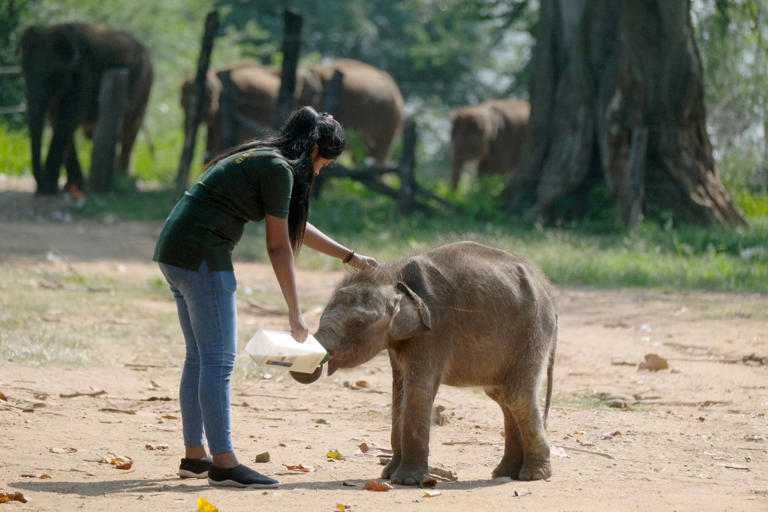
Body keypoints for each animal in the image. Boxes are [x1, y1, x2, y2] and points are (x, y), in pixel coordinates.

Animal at [19, 22, 153, 195]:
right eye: (24, 70)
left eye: (53, 76)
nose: (39, 187)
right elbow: (57, 120)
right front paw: (68, 187)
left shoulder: (84, 73)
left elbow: (68, 119)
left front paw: (50, 188)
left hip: (143, 84)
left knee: (129, 131)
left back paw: (122, 181)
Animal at [293, 241, 558, 486]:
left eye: (358, 323)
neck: (395, 282)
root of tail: (547, 289)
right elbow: (399, 392)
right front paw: (388, 475)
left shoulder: (435, 330)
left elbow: (418, 389)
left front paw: (406, 481)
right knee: (501, 396)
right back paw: (506, 473)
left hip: (531, 333)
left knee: (516, 395)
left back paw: (533, 475)